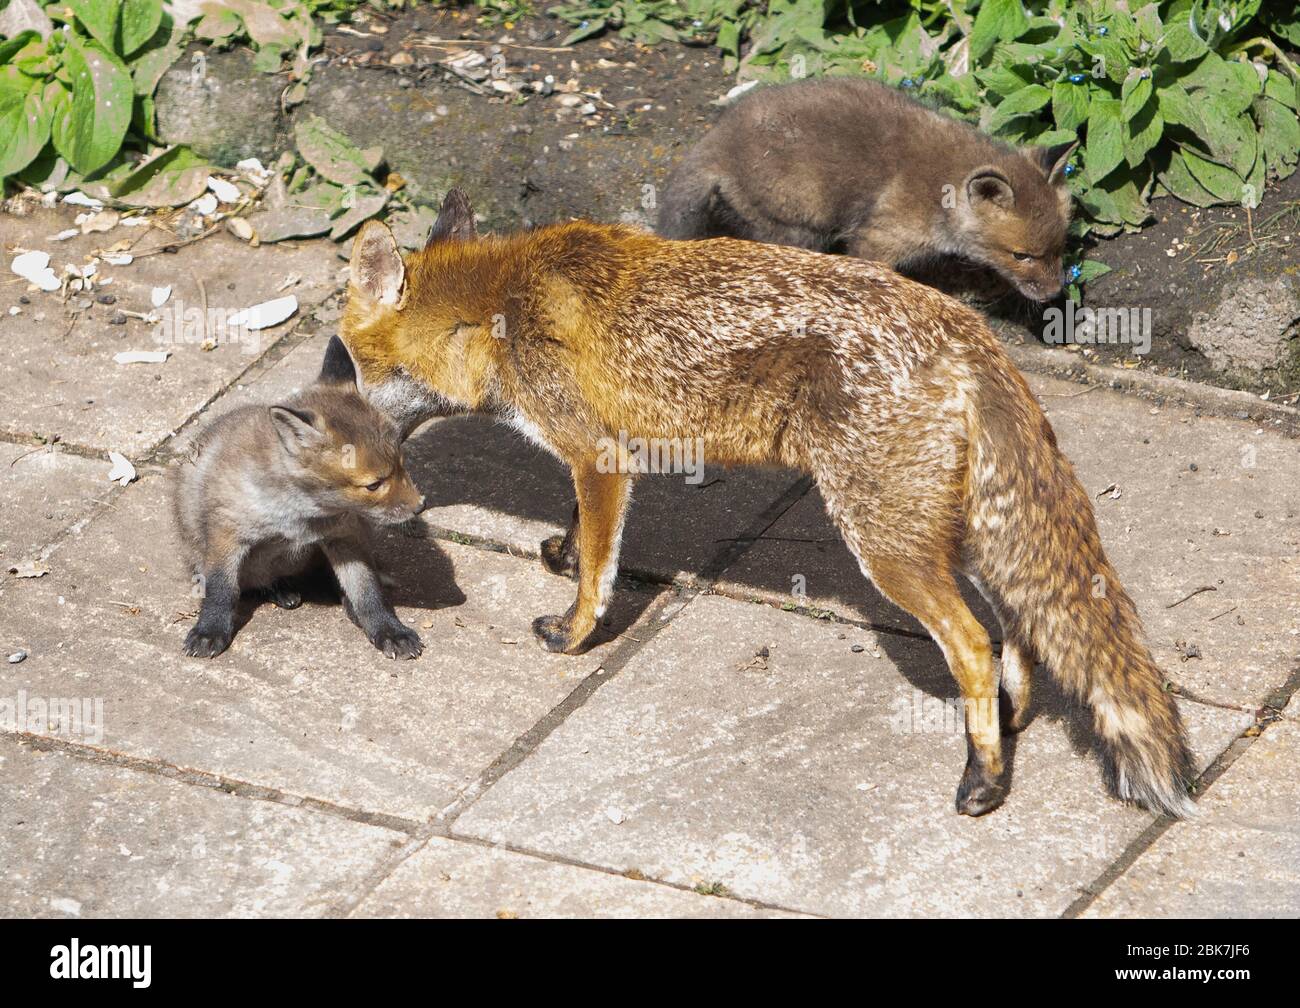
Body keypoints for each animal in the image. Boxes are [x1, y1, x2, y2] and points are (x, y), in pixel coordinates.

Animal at [173, 338, 426, 660]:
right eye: (374, 485)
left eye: (402, 464)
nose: (421, 505)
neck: (297, 519)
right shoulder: (225, 533)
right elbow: (221, 590)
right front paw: (210, 630)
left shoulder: (344, 536)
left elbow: (368, 591)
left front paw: (388, 629)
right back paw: (278, 589)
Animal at [335, 188, 1195, 818]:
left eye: (344, 364)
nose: (319, 419)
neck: (491, 309)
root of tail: (963, 324)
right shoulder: (602, 456)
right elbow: (585, 533)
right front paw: (561, 551)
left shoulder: (597, 454)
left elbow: (600, 574)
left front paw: (576, 632)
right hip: (949, 532)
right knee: (1020, 627)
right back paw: (1010, 729)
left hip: (885, 545)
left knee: (974, 644)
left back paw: (982, 779)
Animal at [656, 77, 1076, 302]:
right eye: (1021, 255)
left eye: (1060, 248)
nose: (1055, 294)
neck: (941, 194)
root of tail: (717, 140)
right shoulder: (877, 240)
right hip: (800, 226)